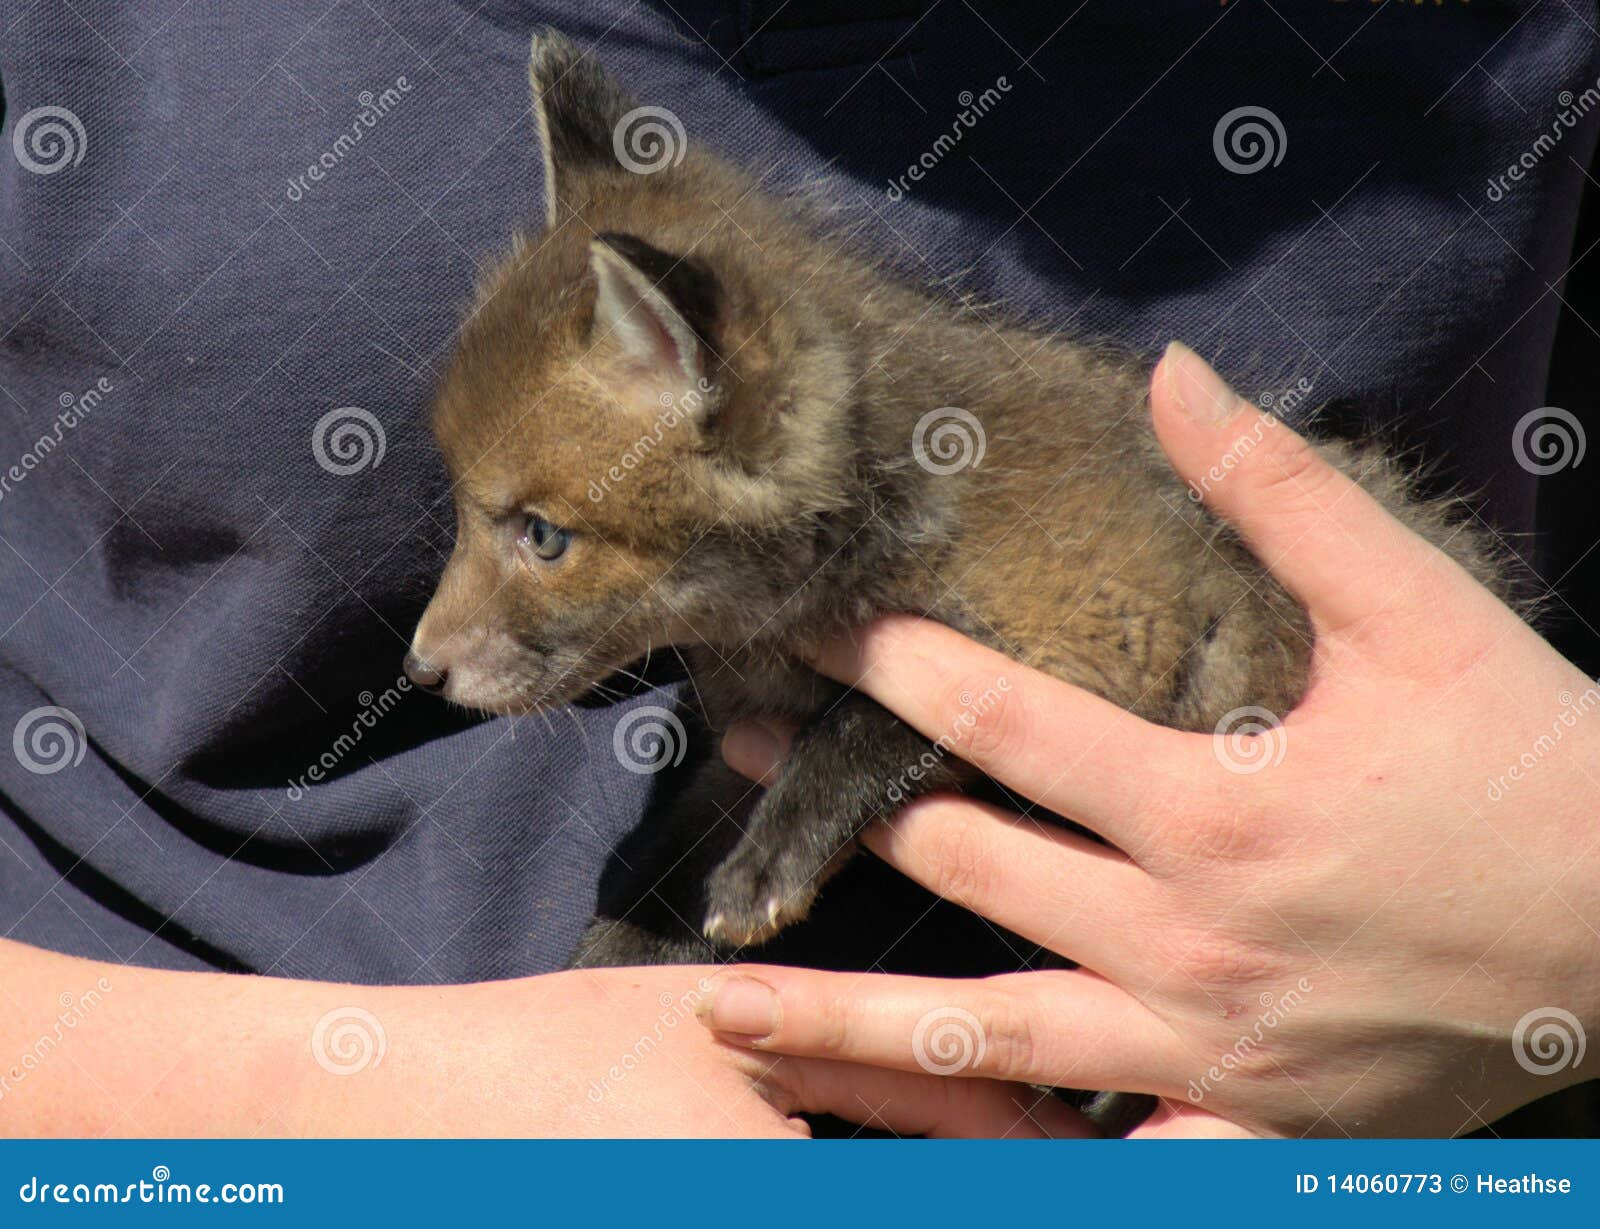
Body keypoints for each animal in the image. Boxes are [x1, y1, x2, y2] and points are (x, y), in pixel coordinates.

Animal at [406, 30, 1510, 971]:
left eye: (542, 535)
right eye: (468, 511)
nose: (419, 669)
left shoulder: (1113, 645)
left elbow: (875, 723)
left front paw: (775, 855)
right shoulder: (737, 742)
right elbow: (657, 875)